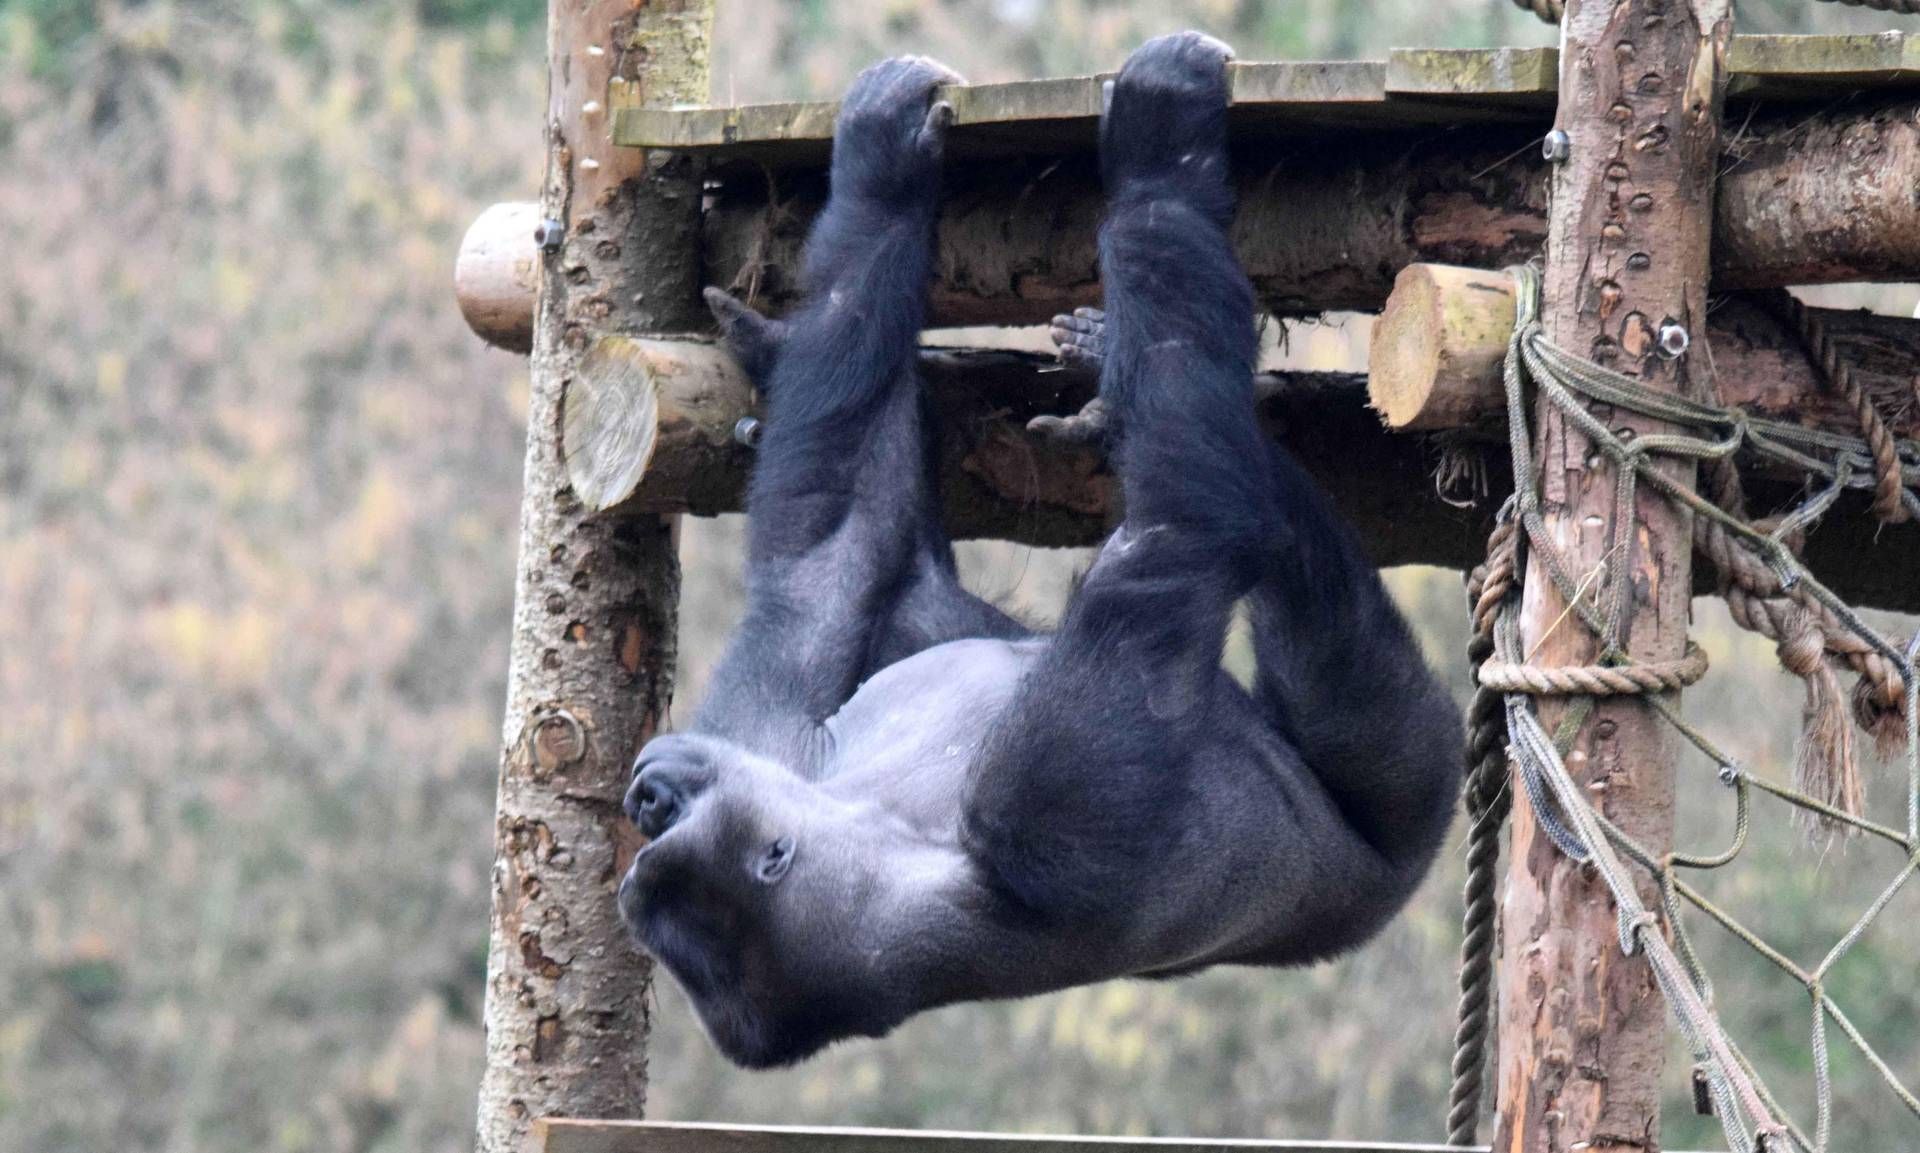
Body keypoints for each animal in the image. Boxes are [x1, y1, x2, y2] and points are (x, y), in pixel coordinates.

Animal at [617, 33, 1463, 1070]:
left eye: (665, 820)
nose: (645, 794)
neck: (892, 836)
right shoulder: (1037, 816)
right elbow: (1183, 531)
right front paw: (1159, 152)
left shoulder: (765, 738)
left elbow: (828, 550)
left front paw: (878, 172)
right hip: (1408, 801)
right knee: (1326, 631)